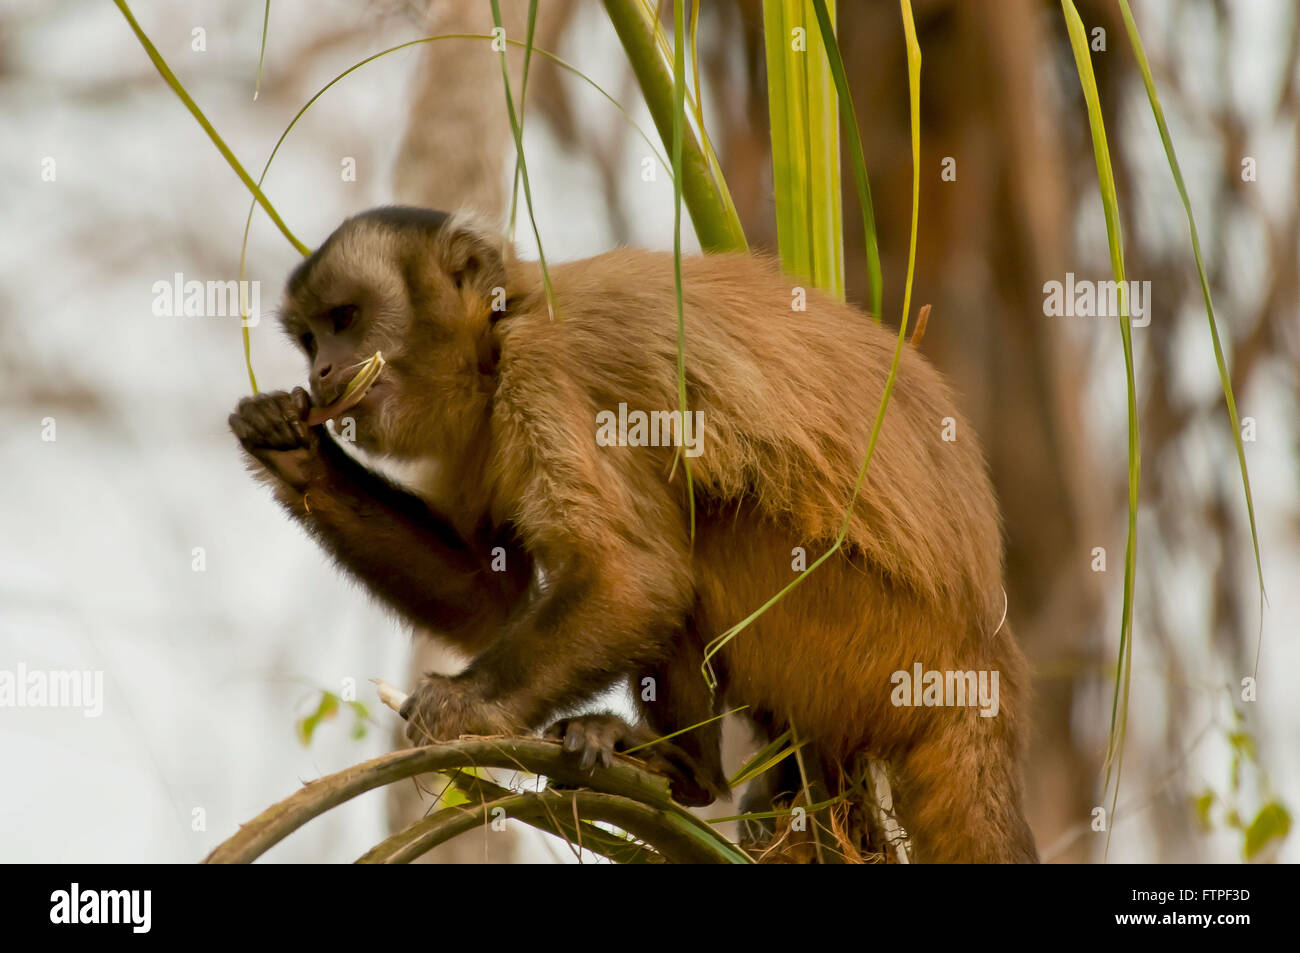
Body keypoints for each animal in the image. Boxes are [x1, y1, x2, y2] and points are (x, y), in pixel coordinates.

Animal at [229, 205, 1039, 863]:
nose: (325, 368)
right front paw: (295, 452)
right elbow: (487, 593)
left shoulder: (543, 367)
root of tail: (982, 656)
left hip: (877, 641)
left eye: (345, 318)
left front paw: (468, 706)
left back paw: (691, 773)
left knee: (700, 531)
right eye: (310, 338)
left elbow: (634, 578)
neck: (501, 332)